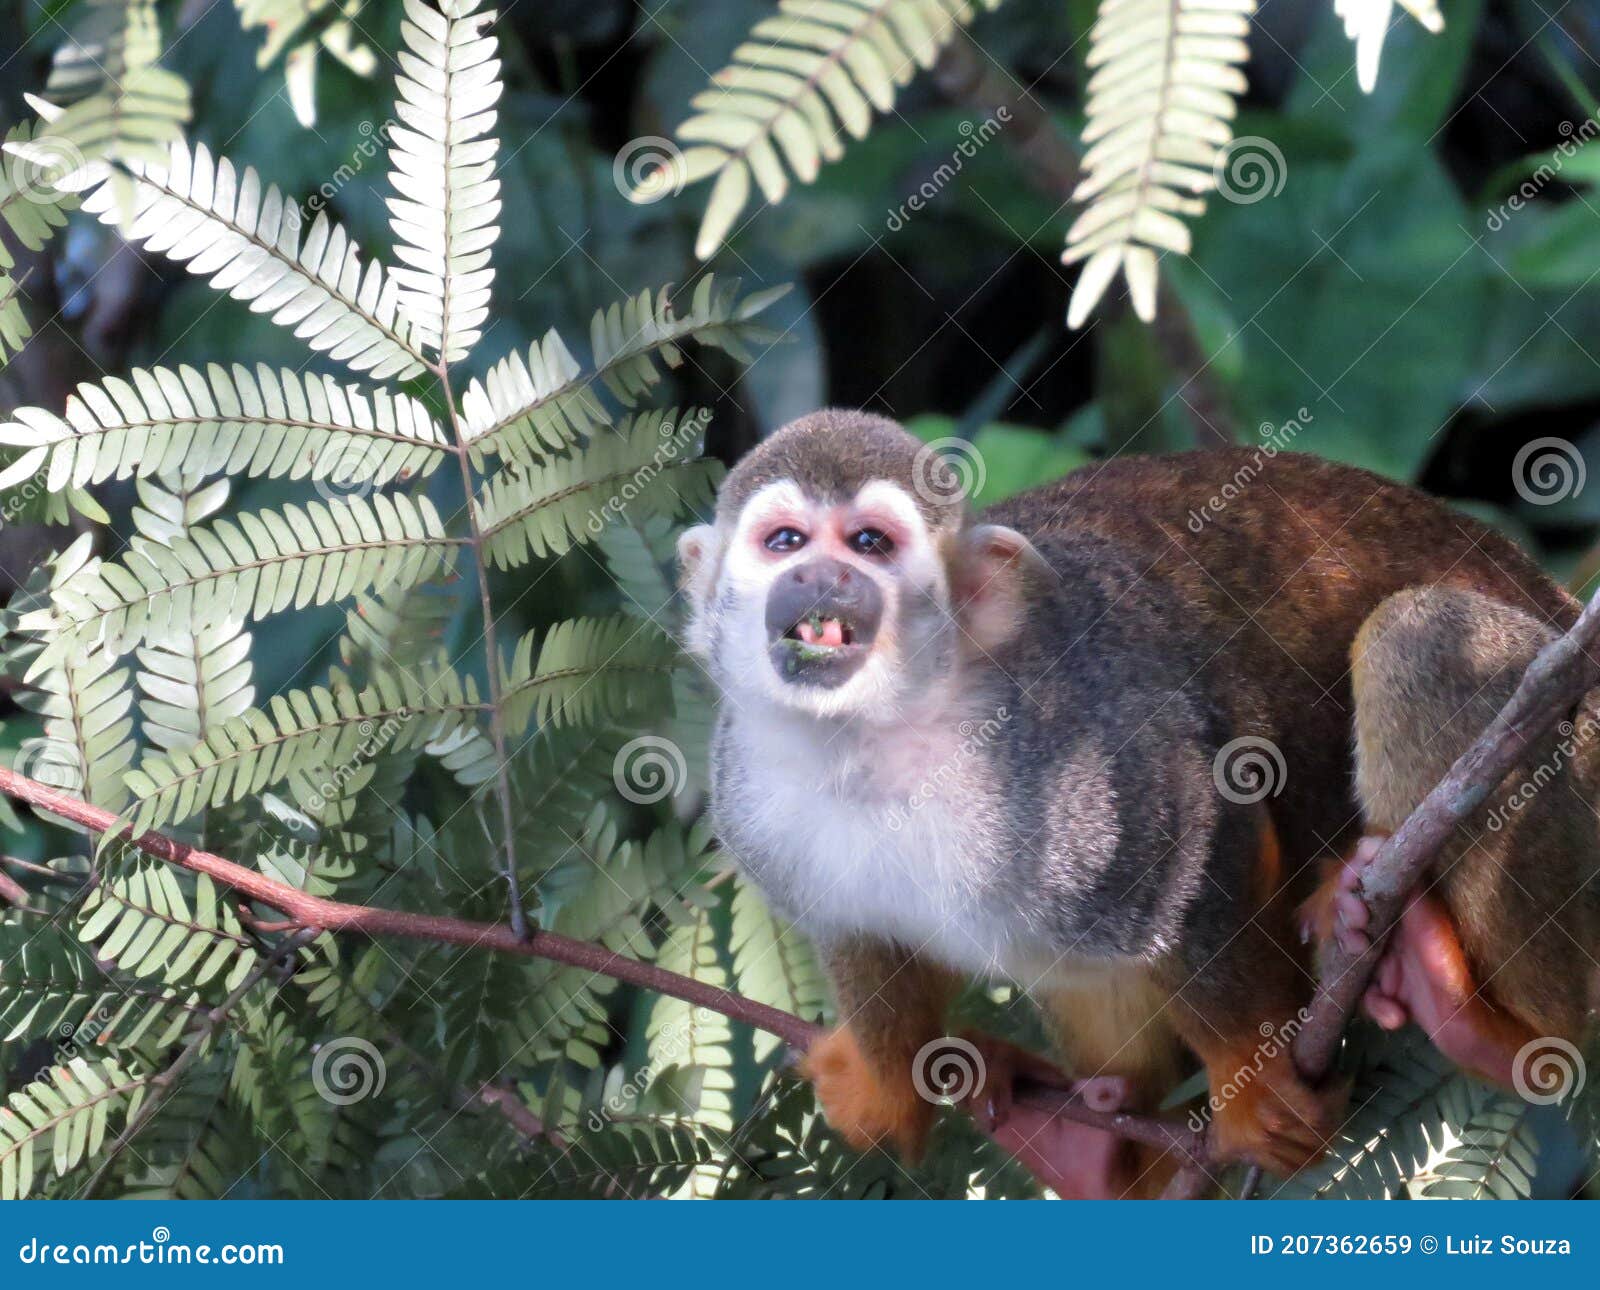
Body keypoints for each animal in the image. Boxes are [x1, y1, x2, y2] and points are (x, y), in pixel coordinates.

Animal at [677, 409, 1577, 1195]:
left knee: (1422, 636)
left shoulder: (1076, 752)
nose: (820, 576)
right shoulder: (745, 786)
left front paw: (1251, 1081)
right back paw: (1097, 1148)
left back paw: (1486, 1027)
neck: (881, 738)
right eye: (786, 541)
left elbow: (1201, 838)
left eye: (871, 543)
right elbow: (859, 933)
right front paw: (887, 1078)